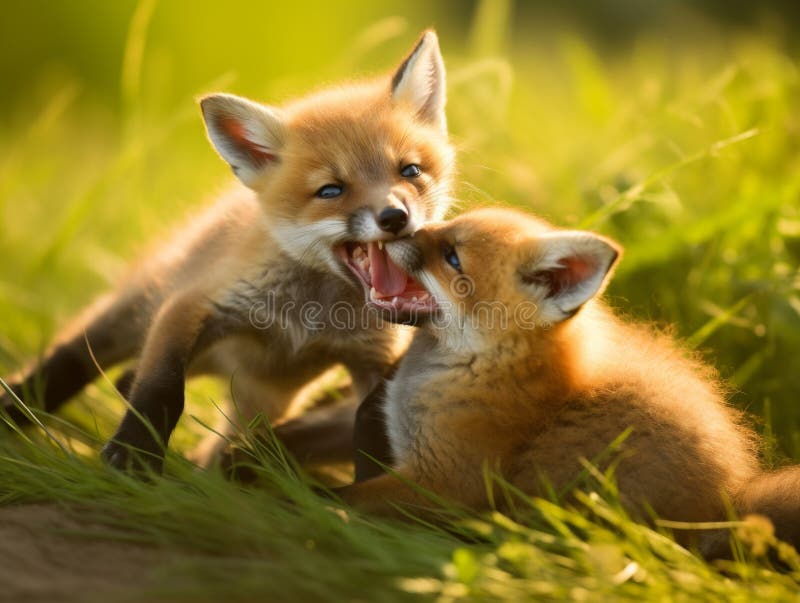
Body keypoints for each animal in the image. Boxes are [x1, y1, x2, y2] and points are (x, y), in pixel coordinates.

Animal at [0, 30, 455, 472]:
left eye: (410, 170)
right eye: (330, 190)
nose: (395, 217)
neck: (310, 318)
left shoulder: (377, 358)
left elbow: (372, 427)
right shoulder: (193, 305)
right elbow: (163, 386)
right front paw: (134, 454)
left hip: (265, 400)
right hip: (134, 312)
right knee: (73, 359)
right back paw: (15, 410)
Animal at [333, 207, 800, 553]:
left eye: (452, 257)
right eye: (443, 225)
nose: (395, 221)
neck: (480, 369)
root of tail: (728, 507)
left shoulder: (444, 482)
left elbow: (344, 497)